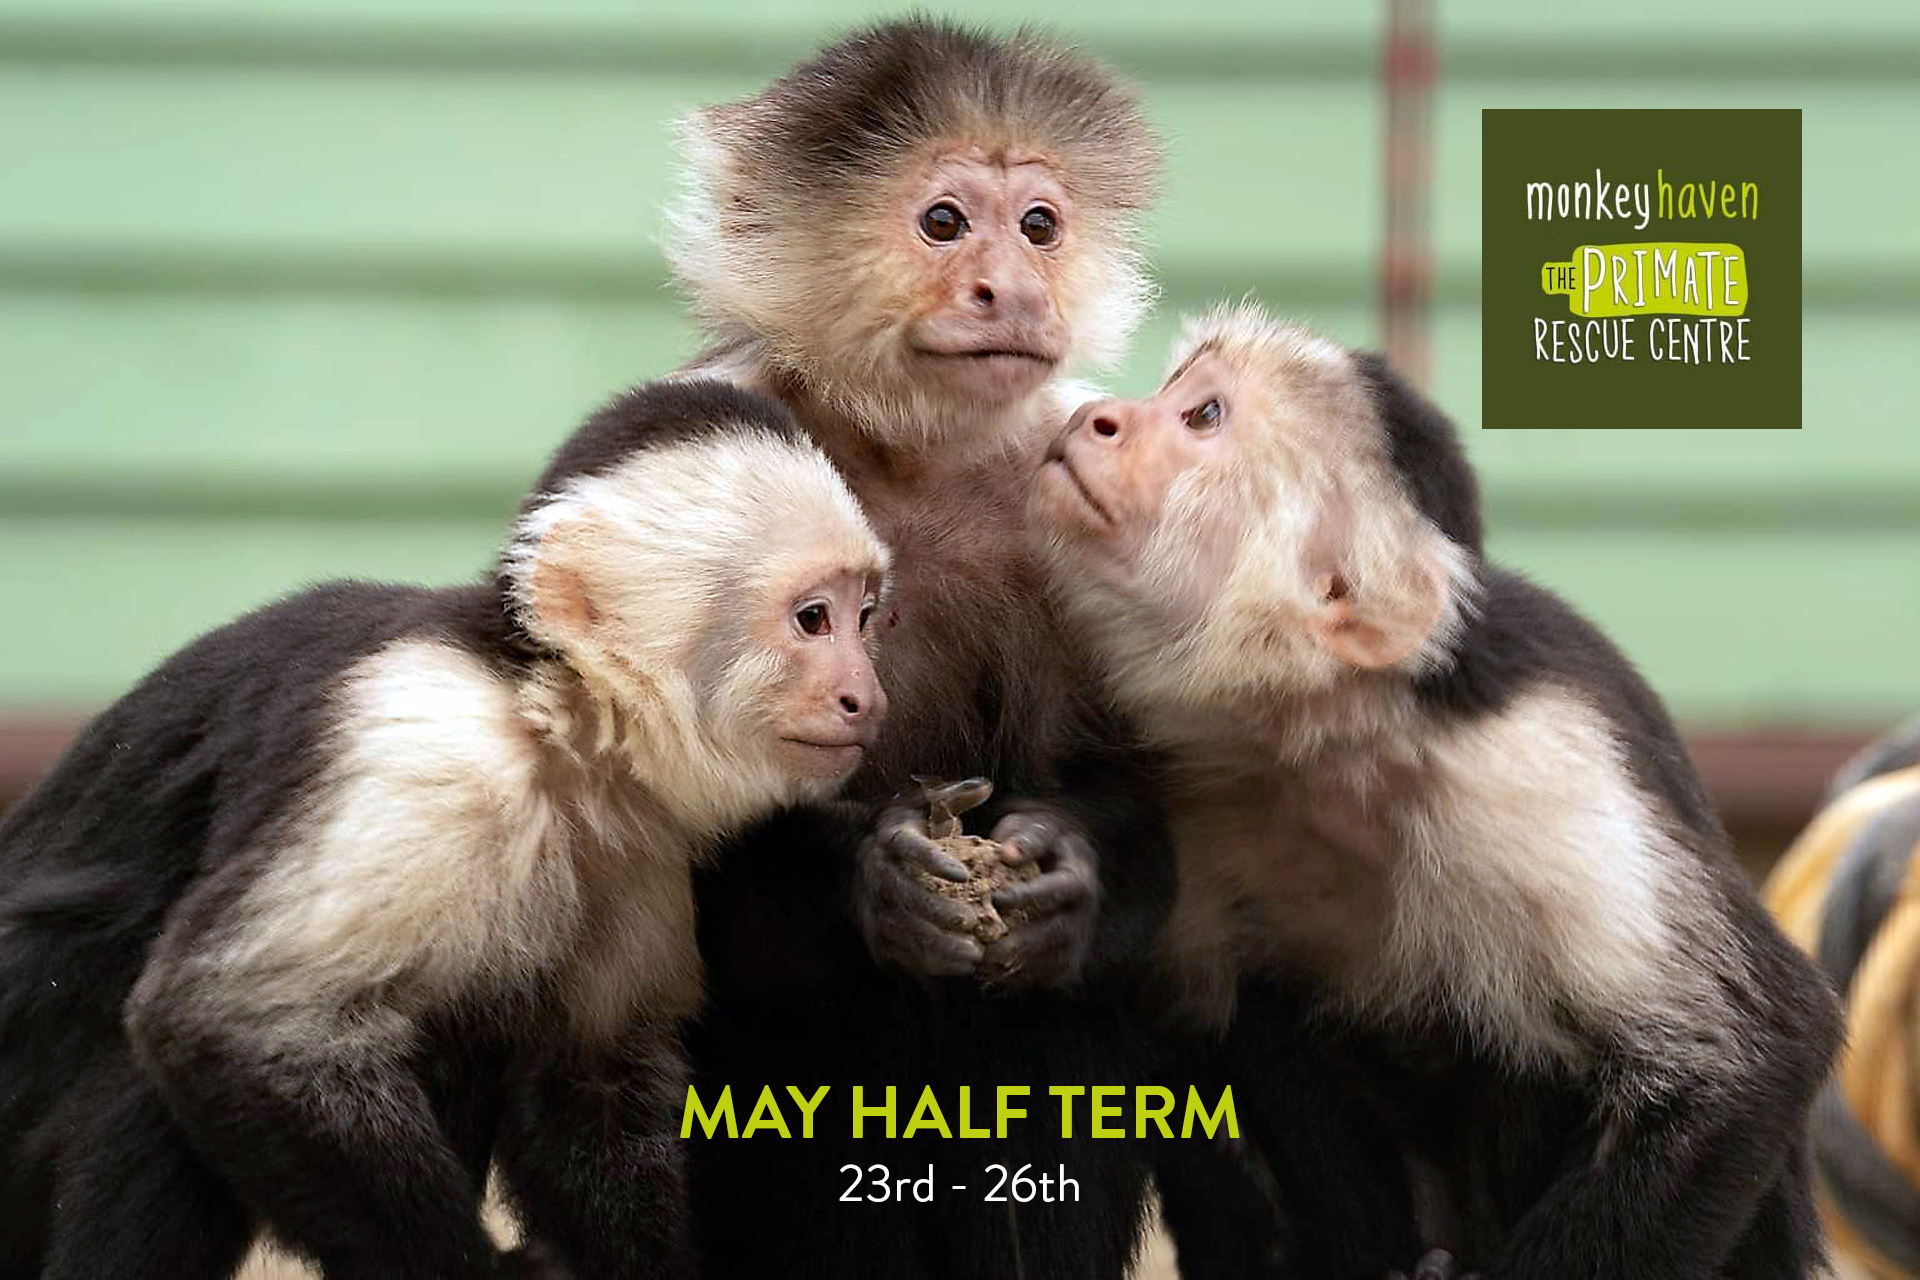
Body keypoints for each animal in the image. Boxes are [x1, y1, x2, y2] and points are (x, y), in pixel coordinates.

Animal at [0, 380, 889, 1280]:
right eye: (812, 620)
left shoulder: (639, 842)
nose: (868, 697)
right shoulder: (432, 753)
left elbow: (589, 1086)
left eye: (865, 616)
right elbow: (230, 1021)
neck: (548, 715)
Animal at [653, 19, 1180, 1279]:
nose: (1014, 284)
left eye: (1037, 225)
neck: (911, 465)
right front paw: (877, 881)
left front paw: (1067, 873)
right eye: (945, 223)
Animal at [1024, 303, 1846, 1280]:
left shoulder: (1537, 770)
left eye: (1203, 417)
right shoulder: (1202, 773)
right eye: (1170, 391)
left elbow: (1746, 1056)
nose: (1099, 417)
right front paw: (1067, 879)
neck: (1342, 741)